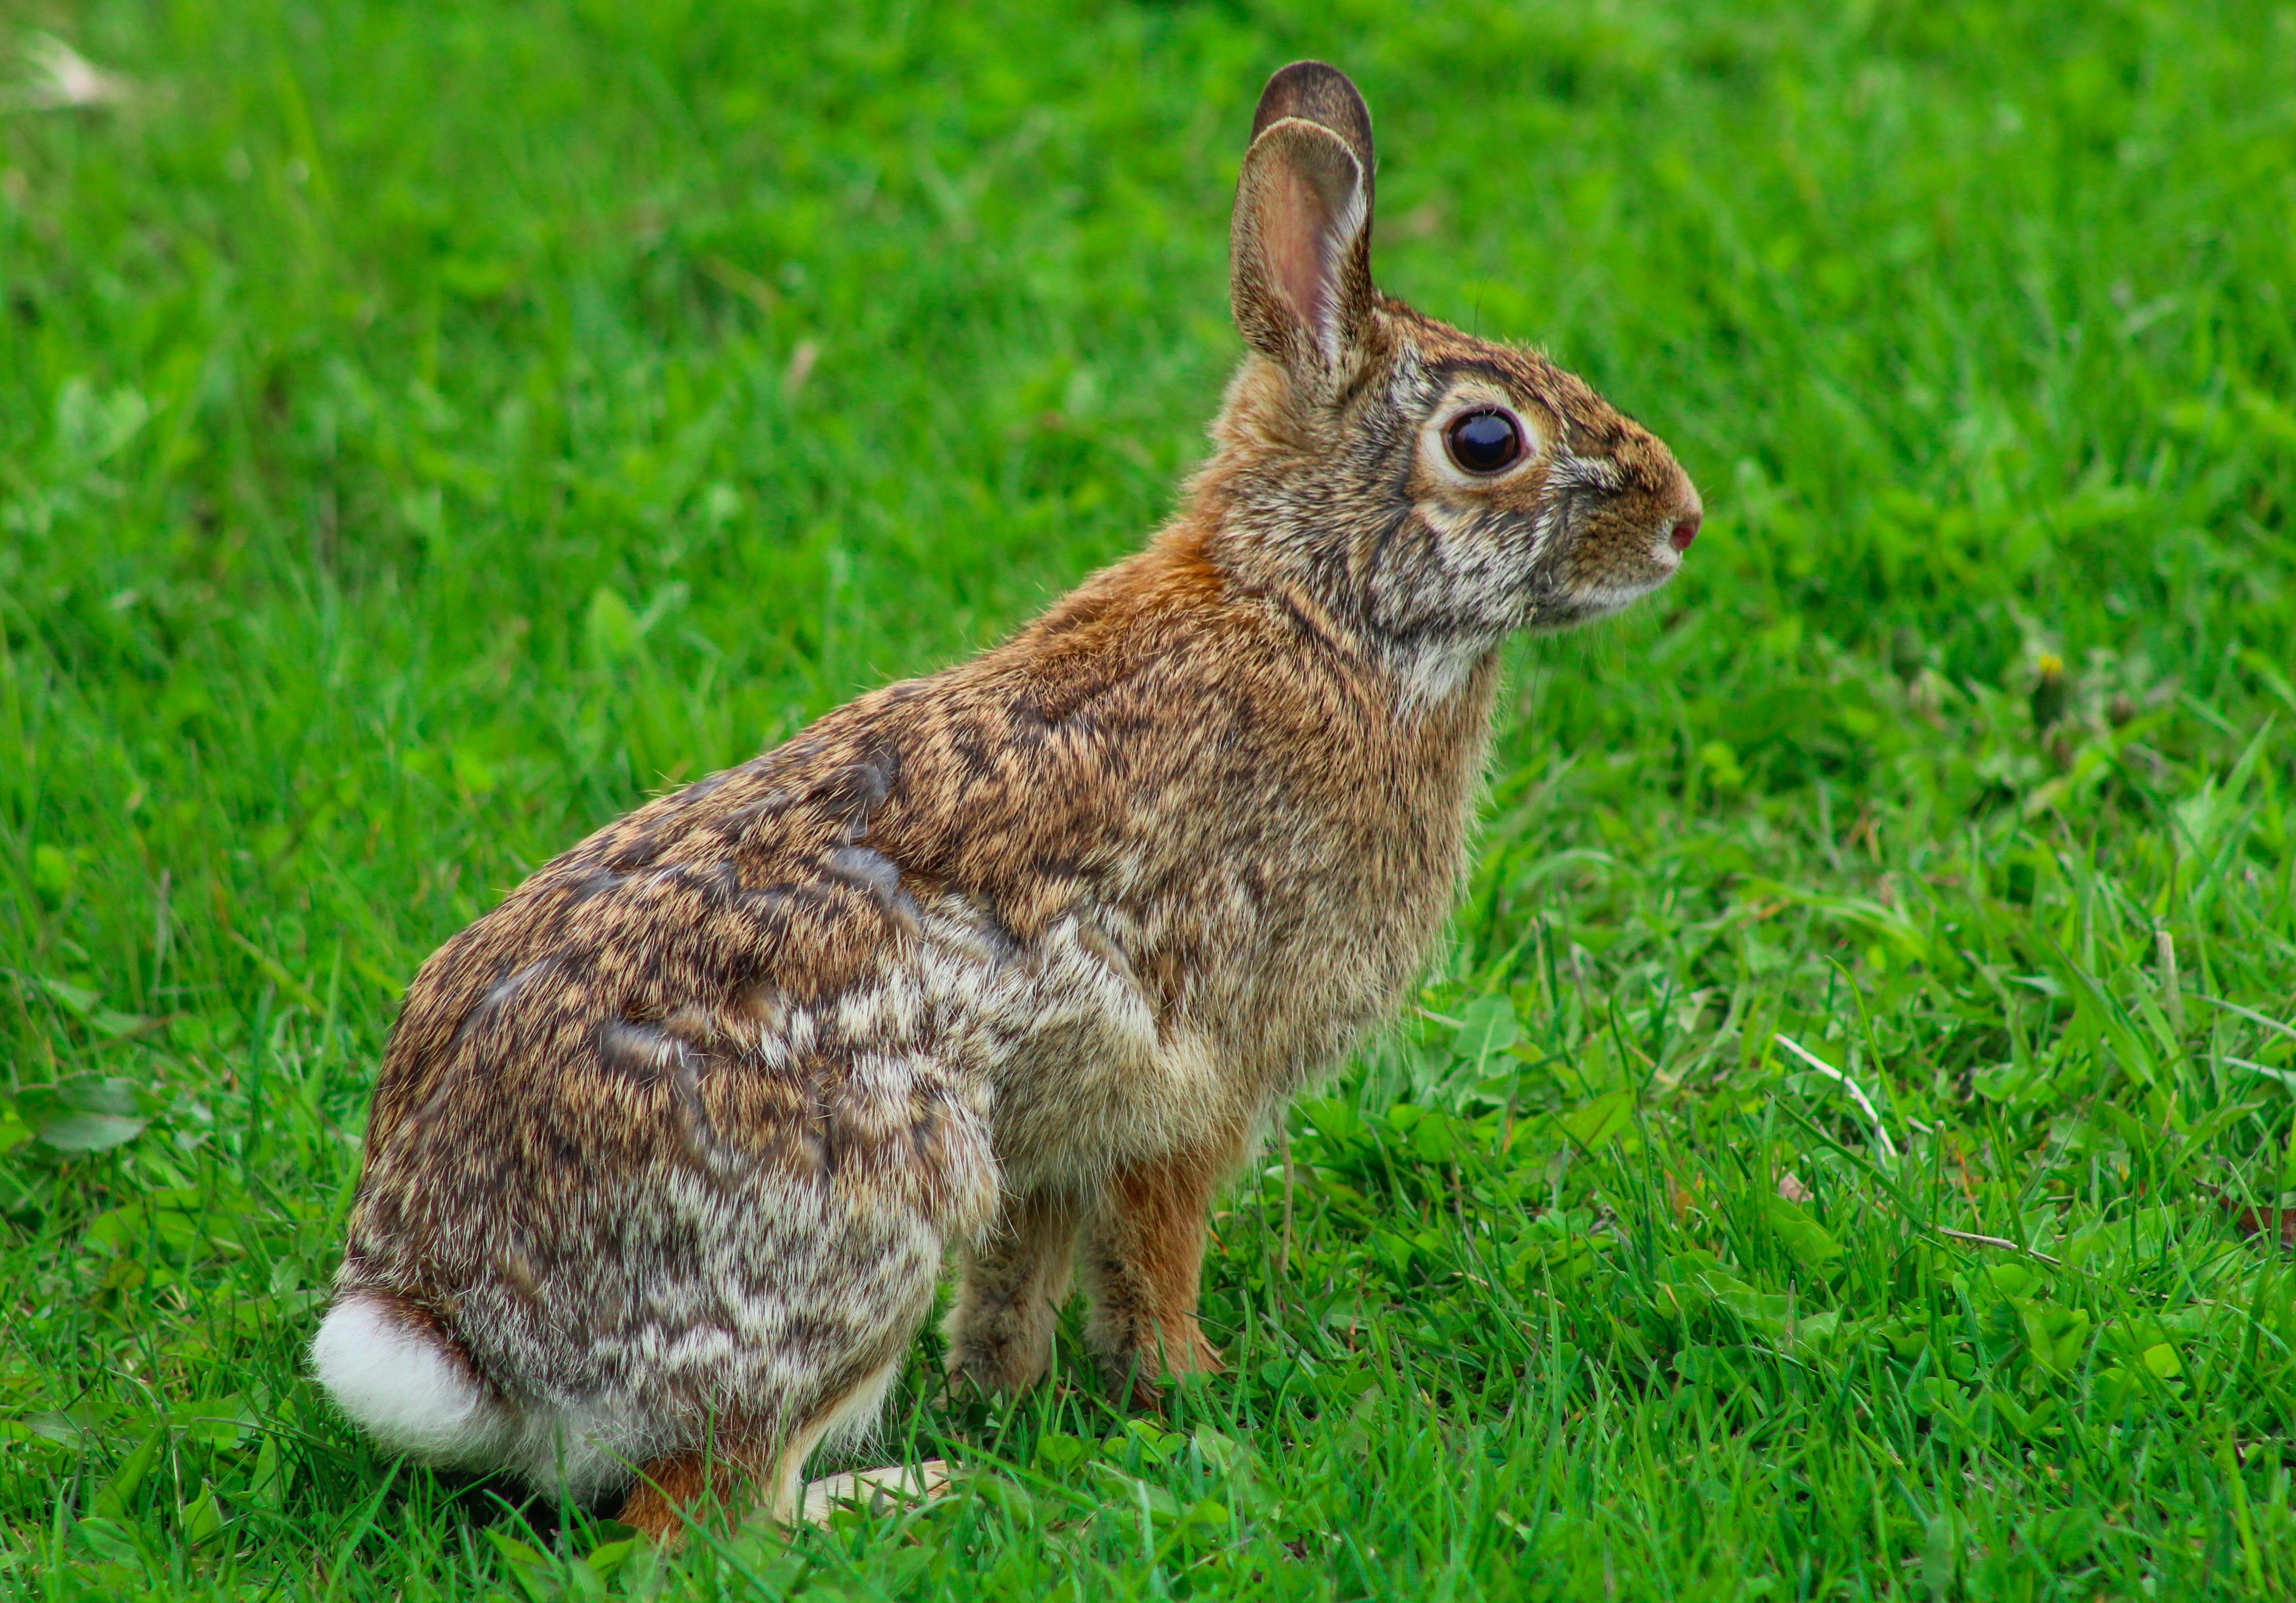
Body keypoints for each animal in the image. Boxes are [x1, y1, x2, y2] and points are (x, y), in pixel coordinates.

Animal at [311, 60, 1702, 1541]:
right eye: (1487, 439)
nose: (1681, 519)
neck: (1320, 611)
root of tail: (457, 1327)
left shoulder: (1056, 1130)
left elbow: (1022, 1277)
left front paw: (1006, 1386)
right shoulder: (1201, 1075)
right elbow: (1154, 1249)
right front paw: (1187, 1384)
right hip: (870, 1219)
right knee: (710, 1510)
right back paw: (907, 1490)